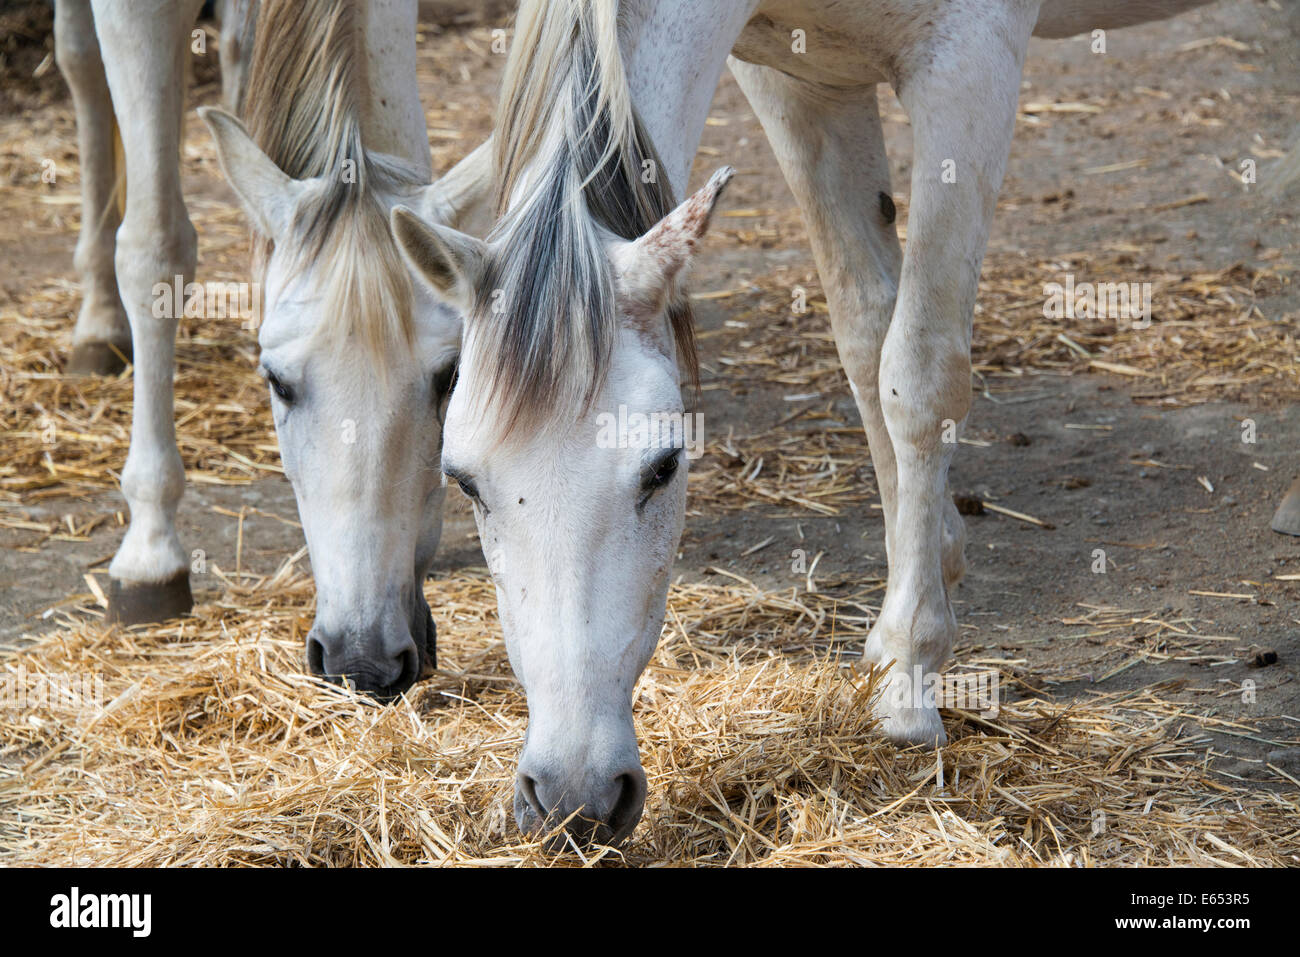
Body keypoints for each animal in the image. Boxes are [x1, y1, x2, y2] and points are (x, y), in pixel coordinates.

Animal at [55, 0, 493, 697]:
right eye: (278, 383)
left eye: (449, 378)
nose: (362, 660)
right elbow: (153, 246)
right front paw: (150, 553)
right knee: (77, 60)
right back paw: (97, 324)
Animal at [391, 0, 1223, 845]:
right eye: (465, 482)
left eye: (663, 467)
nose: (571, 797)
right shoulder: (801, 87)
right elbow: (866, 337)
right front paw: (920, 589)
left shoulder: (969, 69)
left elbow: (918, 375)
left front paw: (910, 676)